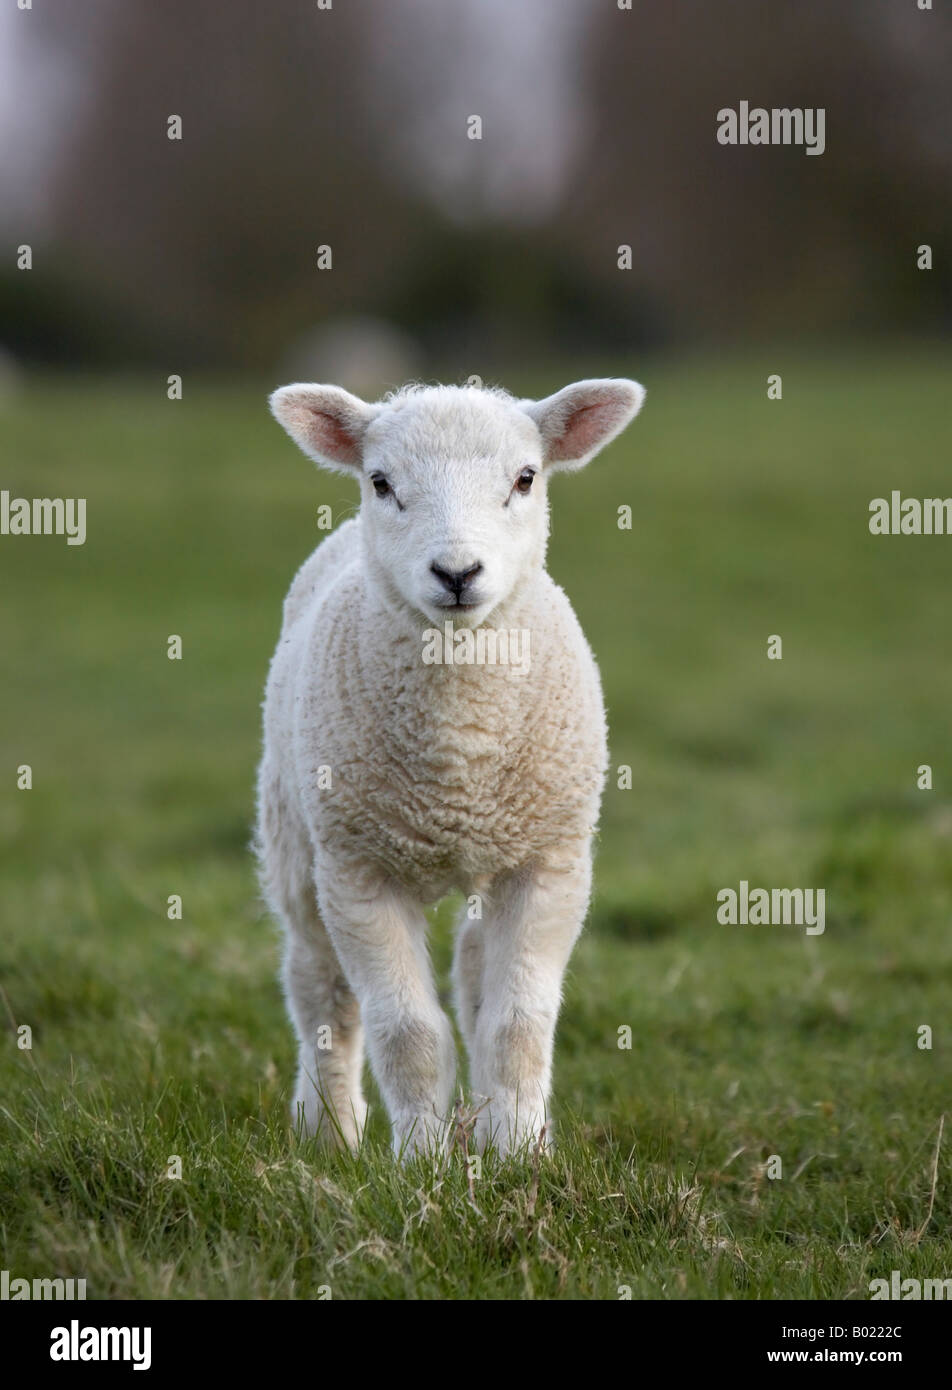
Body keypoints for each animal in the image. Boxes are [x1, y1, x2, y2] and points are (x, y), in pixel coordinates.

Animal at [257, 377, 645, 1157]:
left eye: (525, 478)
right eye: (381, 482)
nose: (457, 573)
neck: (458, 762)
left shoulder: (549, 862)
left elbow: (516, 1024)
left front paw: (518, 1153)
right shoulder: (358, 871)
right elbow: (408, 1033)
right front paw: (421, 1161)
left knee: (470, 971)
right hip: (293, 831)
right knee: (318, 988)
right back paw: (327, 1130)